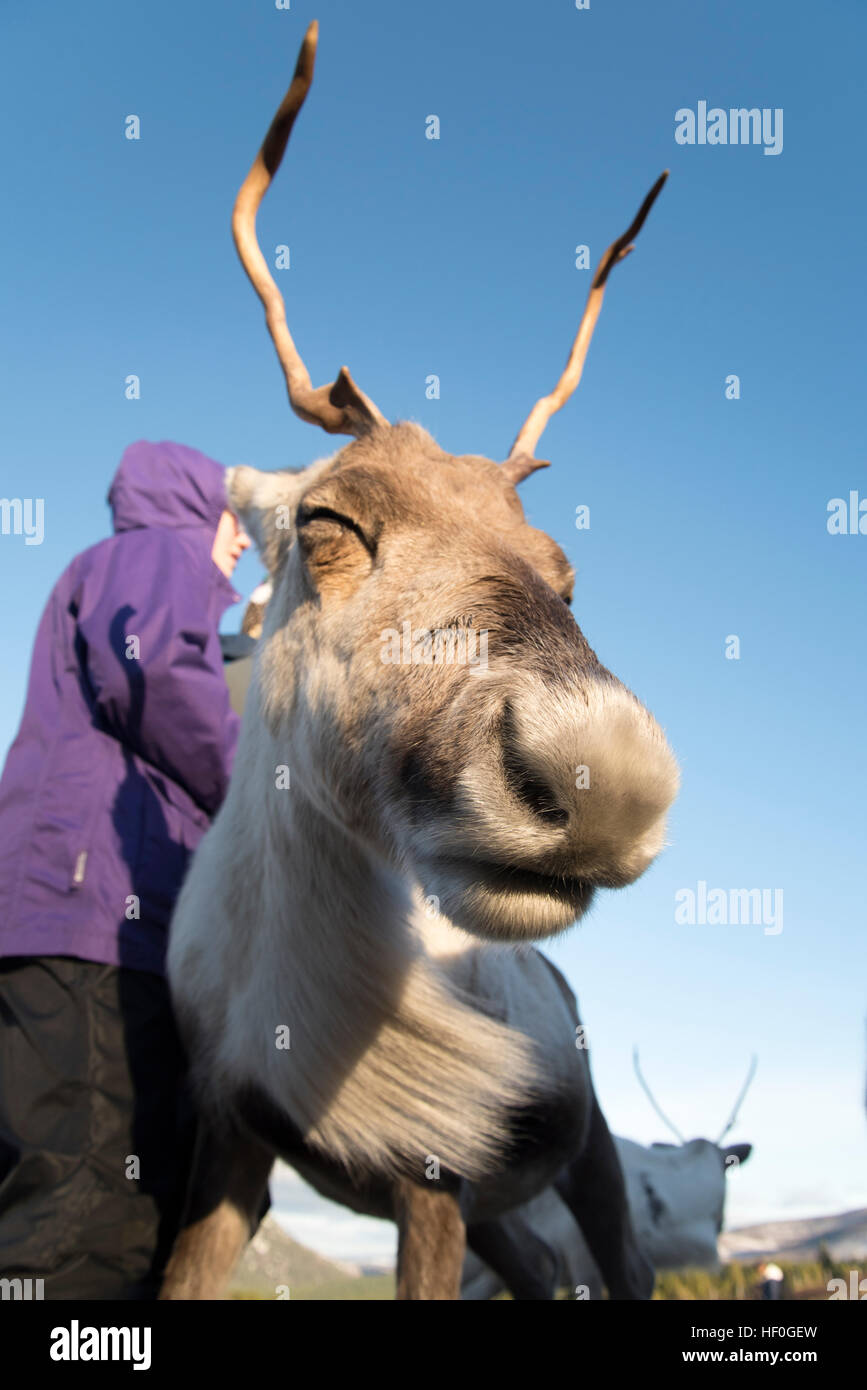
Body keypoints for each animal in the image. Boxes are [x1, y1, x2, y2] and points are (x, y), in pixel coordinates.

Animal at [160, 20, 679, 1301]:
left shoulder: (432, 1181)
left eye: (565, 573)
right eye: (329, 519)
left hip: (590, 1154)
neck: (289, 1000)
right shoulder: (232, 1135)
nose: (606, 775)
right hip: (504, 1211)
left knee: (624, 1267)